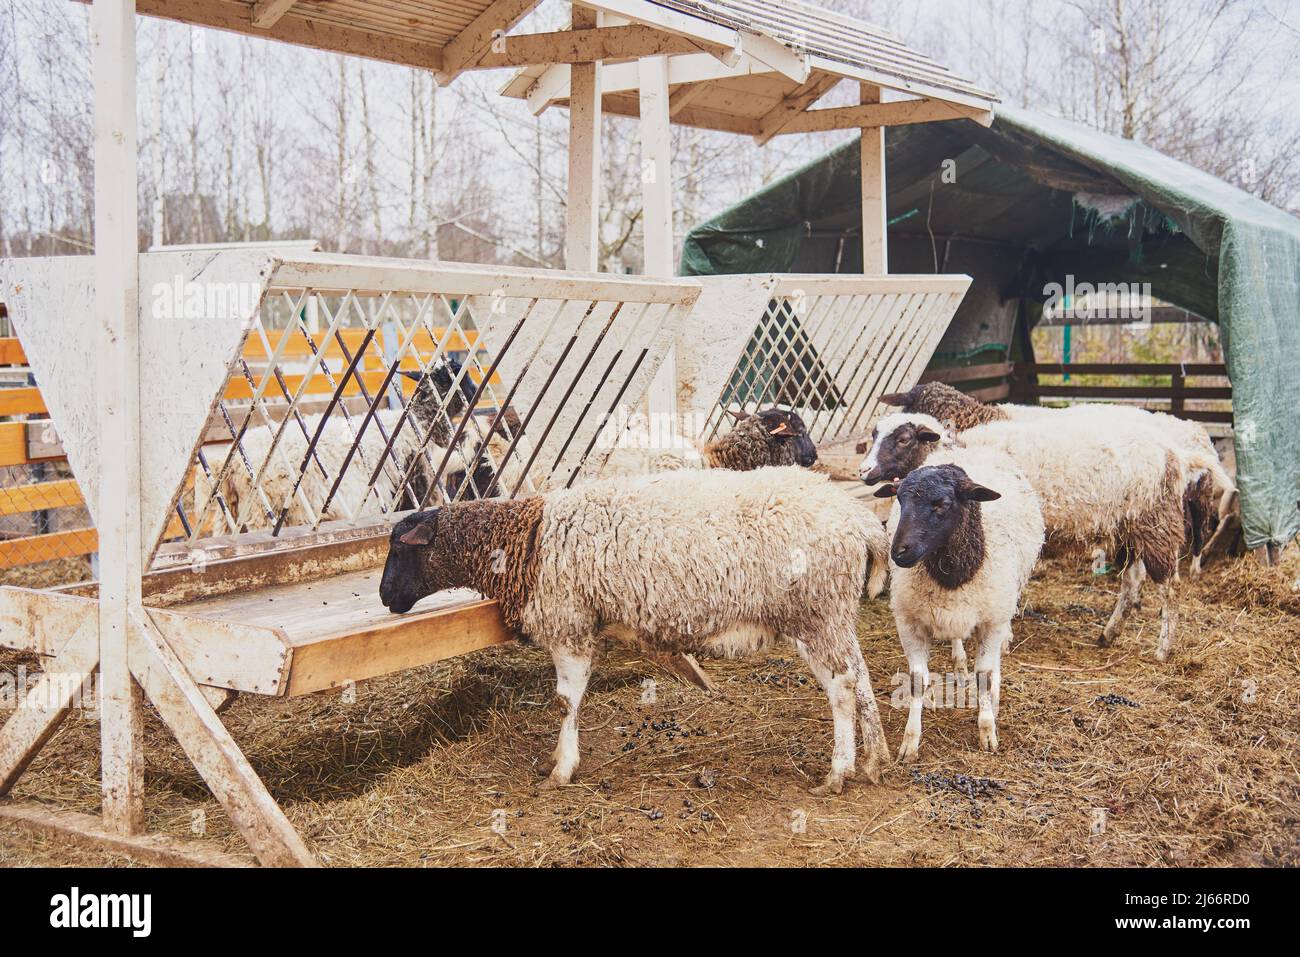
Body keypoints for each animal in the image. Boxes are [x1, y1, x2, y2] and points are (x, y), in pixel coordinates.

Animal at [379, 466, 893, 794]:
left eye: (400, 549)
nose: (385, 597)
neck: (523, 538)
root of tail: (860, 522)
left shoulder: (569, 622)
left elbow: (566, 701)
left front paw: (562, 769)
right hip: (834, 613)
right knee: (862, 677)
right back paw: (874, 761)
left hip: (813, 613)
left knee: (842, 686)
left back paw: (838, 774)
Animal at [860, 408, 1189, 661]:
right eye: (874, 435)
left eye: (903, 439)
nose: (863, 471)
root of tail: (1171, 452)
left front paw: (1003, 639)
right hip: (1132, 526)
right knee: (1132, 581)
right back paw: (1108, 634)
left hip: (1156, 522)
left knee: (1170, 586)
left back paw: (1163, 648)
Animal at [872, 450, 1044, 759]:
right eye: (900, 499)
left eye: (942, 504)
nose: (899, 552)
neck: (953, 574)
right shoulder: (909, 621)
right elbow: (916, 680)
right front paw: (910, 741)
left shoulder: (991, 621)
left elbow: (984, 677)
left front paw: (987, 732)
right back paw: (958, 665)